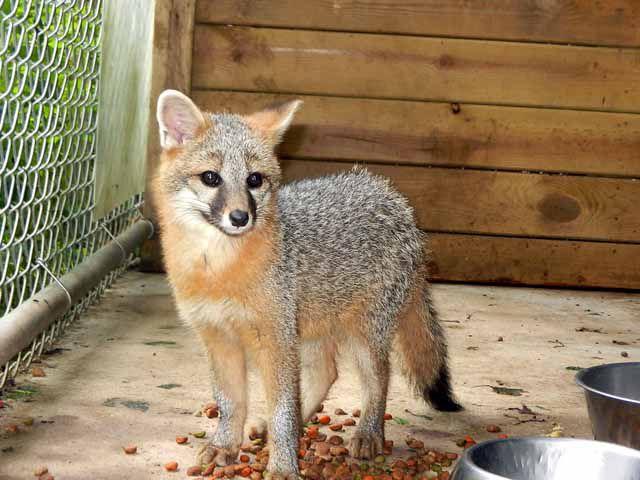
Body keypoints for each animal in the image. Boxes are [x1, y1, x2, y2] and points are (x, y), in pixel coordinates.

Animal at [153, 90, 462, 478]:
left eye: (254, 180)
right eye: (211, 177)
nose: (240, 217)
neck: (218, 271)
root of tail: (391, 195)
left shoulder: (275, 341)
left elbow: (282, 409)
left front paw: (284, 465)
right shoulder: (218, 338)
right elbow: (230, 403)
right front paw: (224, 446)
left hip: (362, 336)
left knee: (379, 378)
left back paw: (368, 434)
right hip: (311, 331)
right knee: (327, 373)